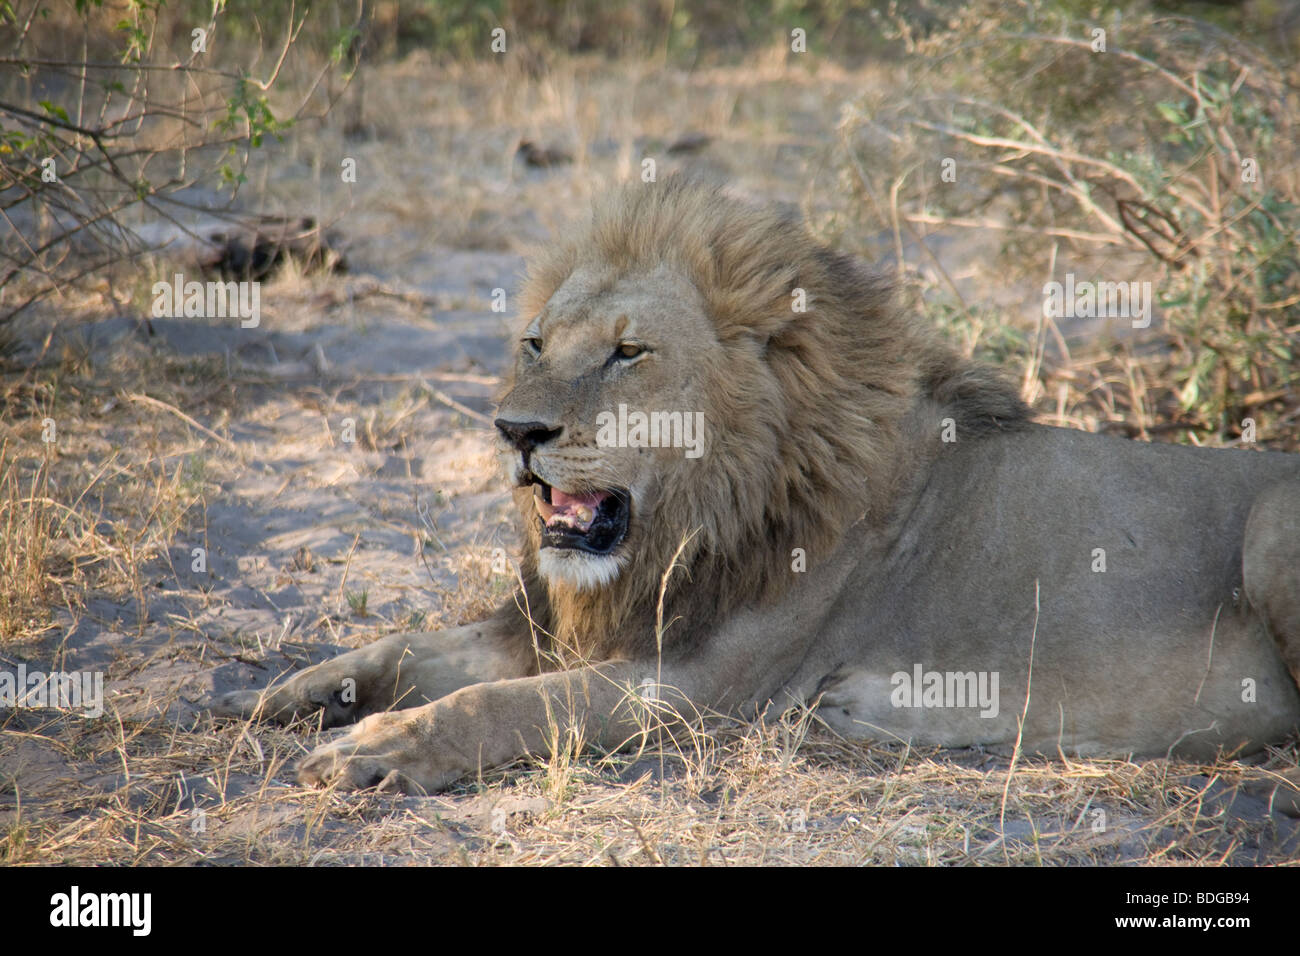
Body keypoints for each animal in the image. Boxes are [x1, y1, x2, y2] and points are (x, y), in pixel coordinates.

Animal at [212, 177, 1300, 804]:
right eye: (533, 343)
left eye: (628, 353)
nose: (516, 432)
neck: (706, 513)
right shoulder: (564, 622)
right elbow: (408, 648)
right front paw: (292, 693)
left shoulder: (701, 688)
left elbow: (504, 707)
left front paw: (375, 747)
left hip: (1271, 528)